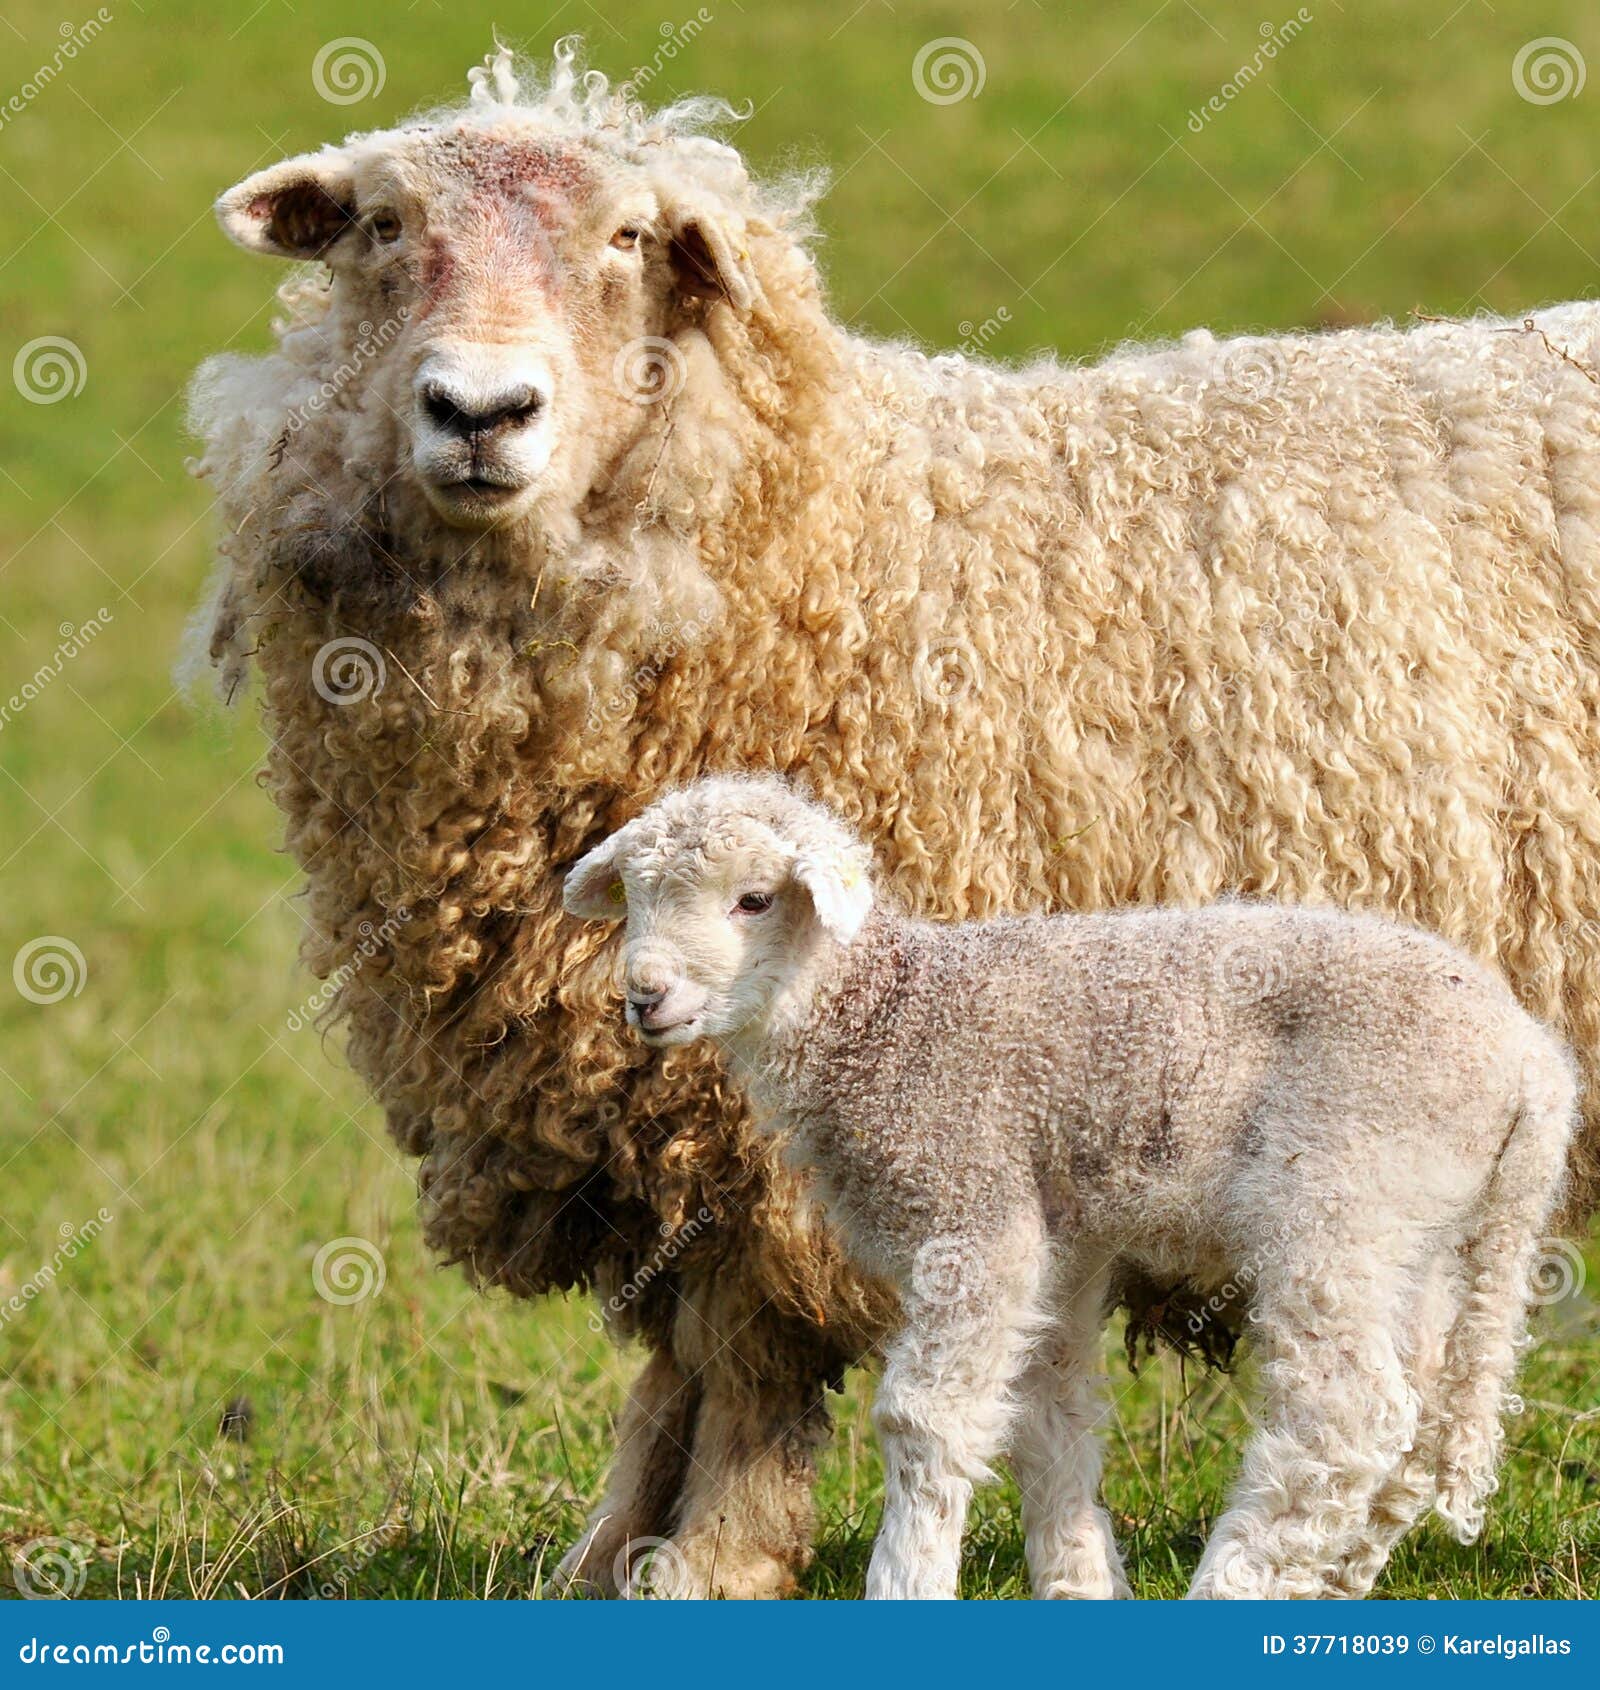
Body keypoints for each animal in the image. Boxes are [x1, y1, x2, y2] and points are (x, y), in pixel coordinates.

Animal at [564, 775, 1578, 1600]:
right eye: (637, 898)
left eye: (754, 899)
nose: (644, 996)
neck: (885, 1016)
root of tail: (1535, 1068)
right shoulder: (1062, 1239)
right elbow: (1049, 1416)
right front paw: (1079, 1581)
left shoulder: (972, 1206)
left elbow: (923, 1421)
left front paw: (907, 1581)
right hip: (1429, 1229)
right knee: (1419, 1420)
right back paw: (1329, 1582)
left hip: (1341, 1188)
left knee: (1347, 1413)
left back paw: (1233, 1584)